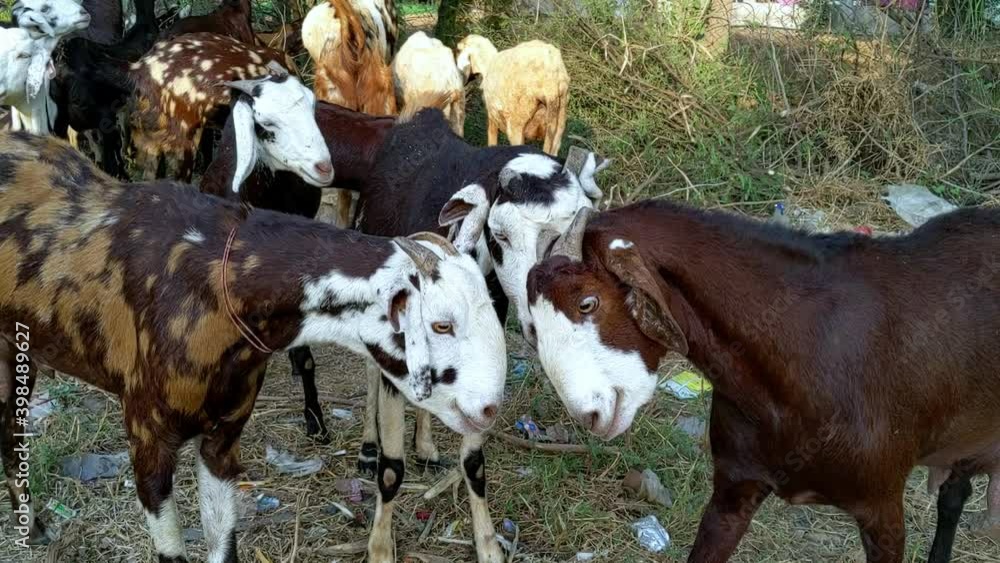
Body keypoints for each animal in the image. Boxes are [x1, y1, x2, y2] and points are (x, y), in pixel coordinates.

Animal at [0, 130, 506, 560]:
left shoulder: (224, 438)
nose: (488, 410)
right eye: (442, 325)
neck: (215, 276)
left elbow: (224, 546)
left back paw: (35, 528)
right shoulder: (147, 441)